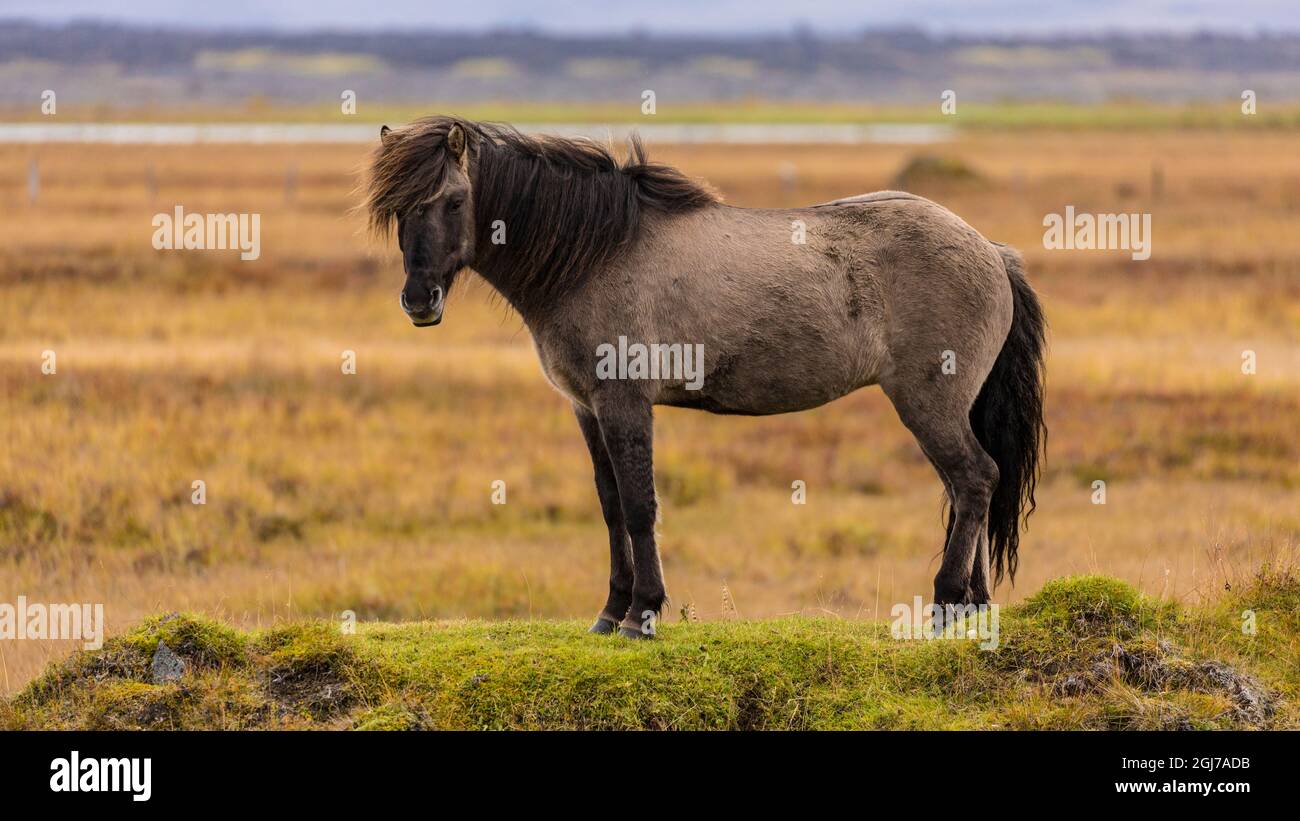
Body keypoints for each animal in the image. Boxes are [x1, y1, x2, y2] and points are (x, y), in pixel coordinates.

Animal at [363, 116, 1047, 639]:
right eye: (395, 211)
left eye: (453, 202)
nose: (419, 302)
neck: (597, 253)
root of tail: (990, 250)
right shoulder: (587, 407)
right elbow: (610, 506)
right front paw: (609, 612)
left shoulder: (624, 403)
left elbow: (640, 505)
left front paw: (642, 615)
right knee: (969, 488)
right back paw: (974, 607)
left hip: (929, 403)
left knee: (975, 479)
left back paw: (946, 603)